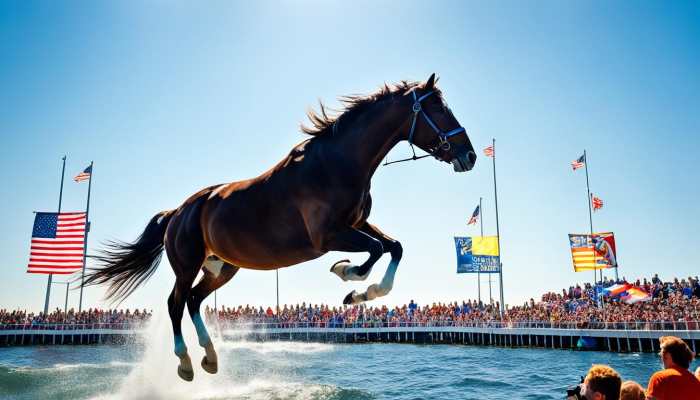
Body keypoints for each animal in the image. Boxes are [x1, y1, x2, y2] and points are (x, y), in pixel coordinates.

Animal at [82, 73, 476, 381]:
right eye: (438, 109)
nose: (469, 155)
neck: (337, 162)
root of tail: (178, 211)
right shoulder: (328, 236)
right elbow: (376, 250)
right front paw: (349, 278)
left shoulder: (356, 223)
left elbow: (395, 246)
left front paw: (363, 292)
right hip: (188, 264)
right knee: (175, 302)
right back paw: (186, 363)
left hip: (223, 268)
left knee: (194, 300)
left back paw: (210, 357)